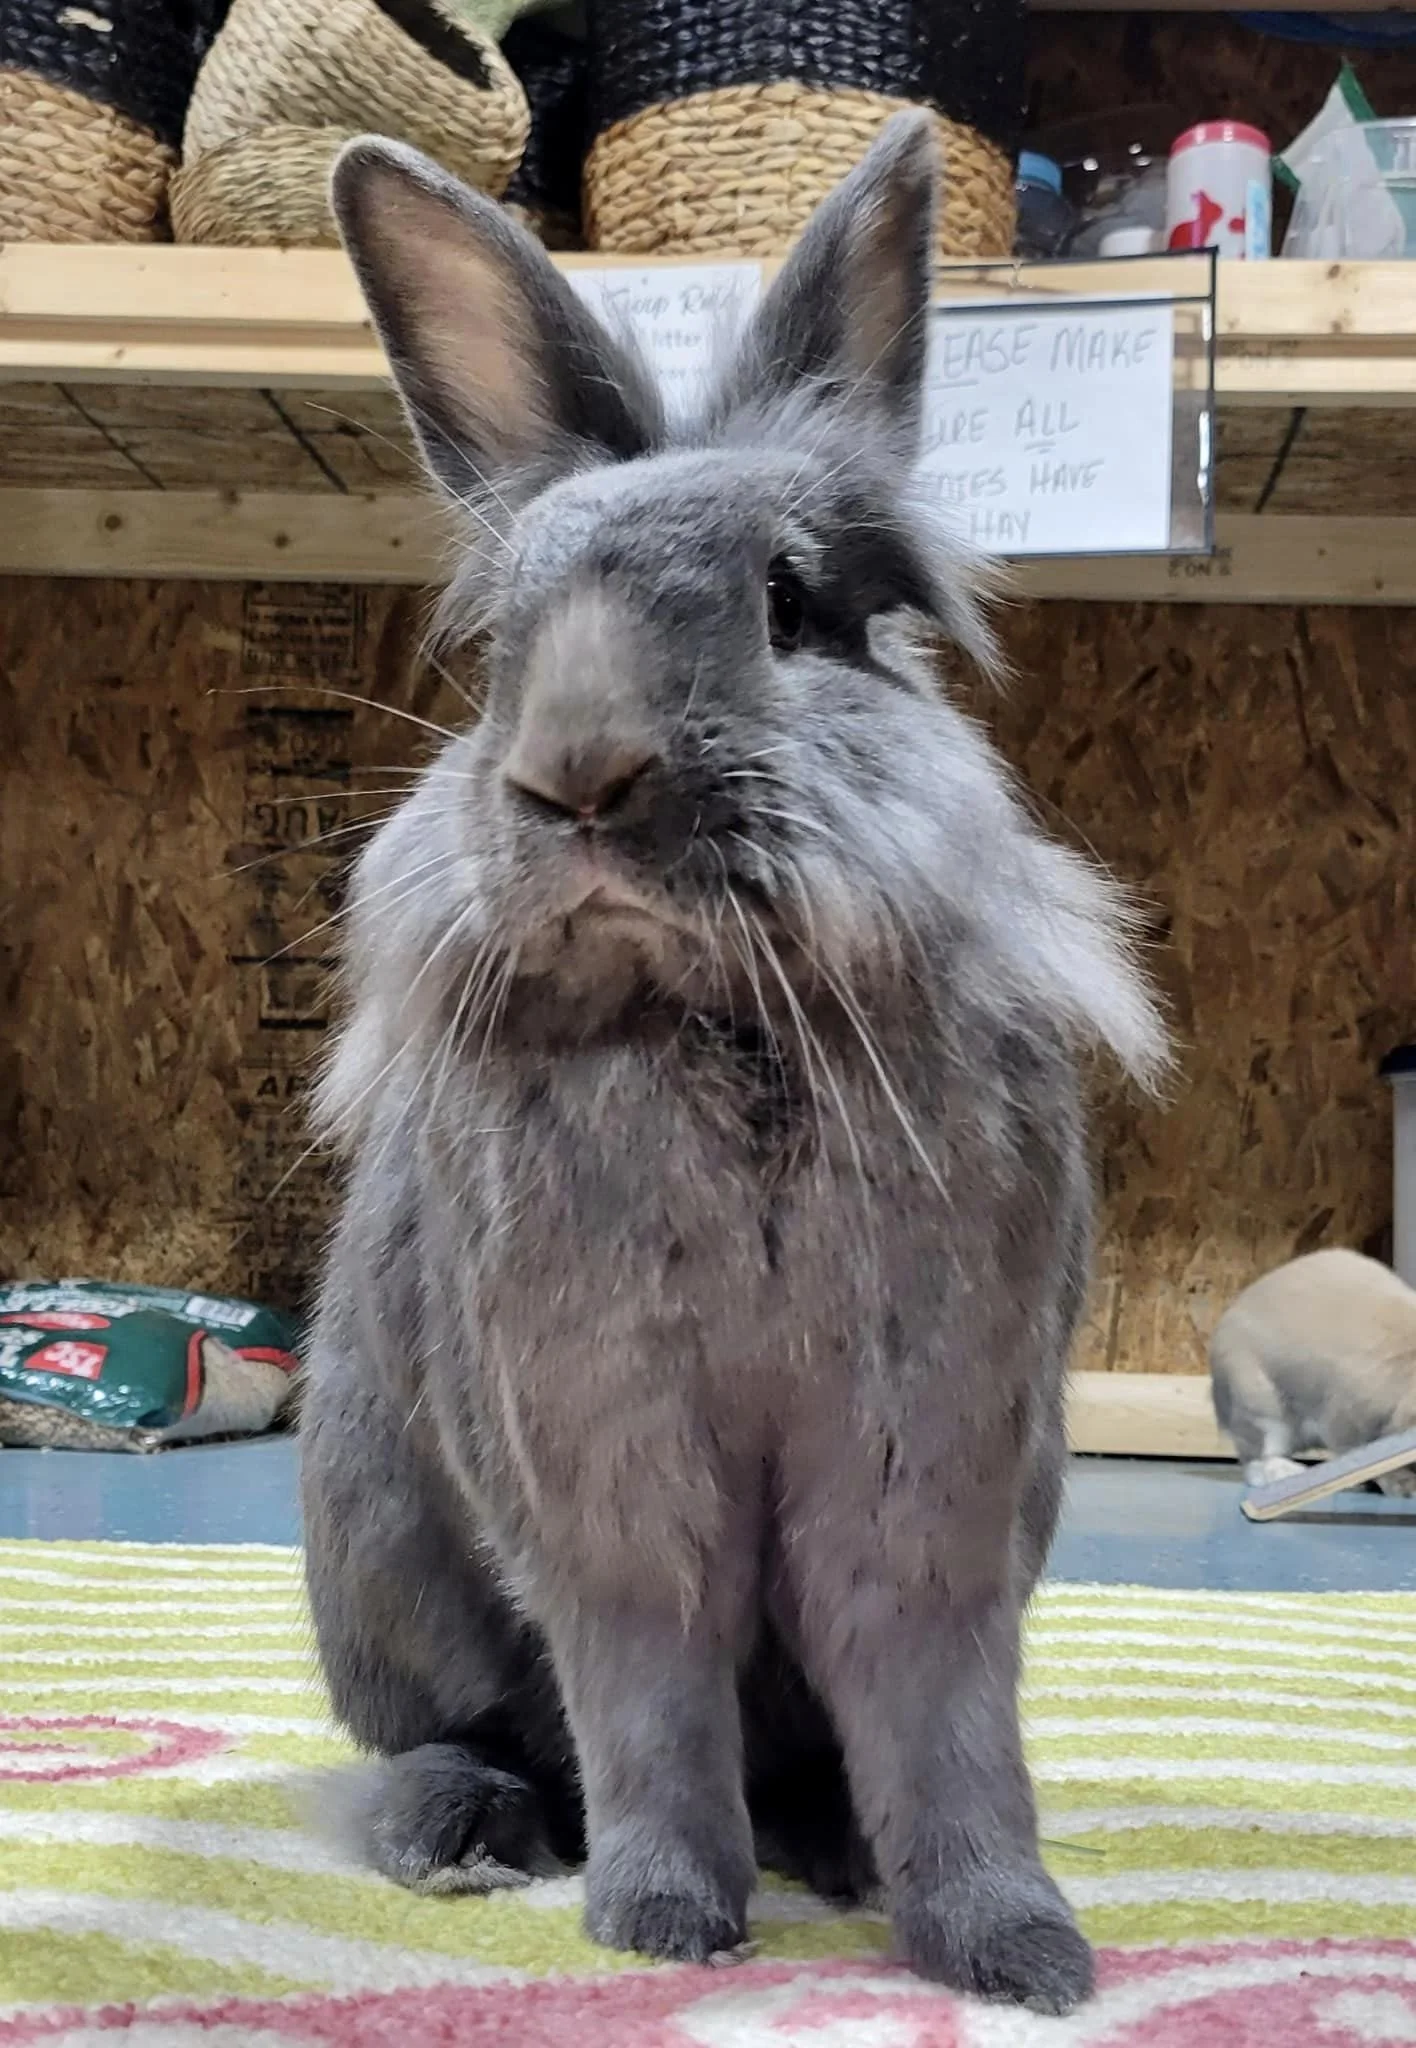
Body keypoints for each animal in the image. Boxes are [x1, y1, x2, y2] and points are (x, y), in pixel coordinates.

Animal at [298, 112, 1167, 2015]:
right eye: (502, 651)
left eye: (790, 598)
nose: (577, 773)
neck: (718, 1011)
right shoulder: (605, 1467)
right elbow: (647, 1685)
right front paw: (664, 1920)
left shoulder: (929, 1462)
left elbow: (937, 1708)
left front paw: (1020, 1950)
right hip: (380, 1554)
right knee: (444, 1734)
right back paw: (466, 1837)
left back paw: (829, 1848)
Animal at [1211, 1247, 1416, 1495]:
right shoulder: (1346, 1420)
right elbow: (1365, 1455)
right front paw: (1404, 1485)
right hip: (1260, 1407)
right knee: (1257, 1461)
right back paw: (1288, 1473)